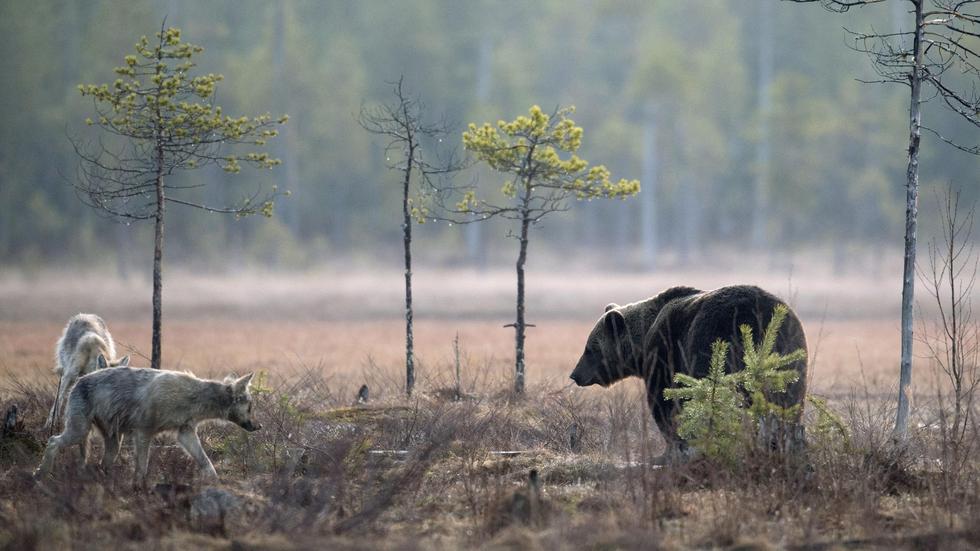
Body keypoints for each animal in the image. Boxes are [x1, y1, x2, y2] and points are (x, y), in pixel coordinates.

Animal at [34, 367, 261, 489]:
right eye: (250, 407)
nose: (259, 426)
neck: (192, 397)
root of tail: (78, 381)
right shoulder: (143, 433)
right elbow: (142, 467)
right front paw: (138, 489)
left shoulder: (185, 434)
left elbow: (206, 462)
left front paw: (217, 483)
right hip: (78, 432)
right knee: (52, 441)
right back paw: (41, 474)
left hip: (113, 443)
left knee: (100, 464)